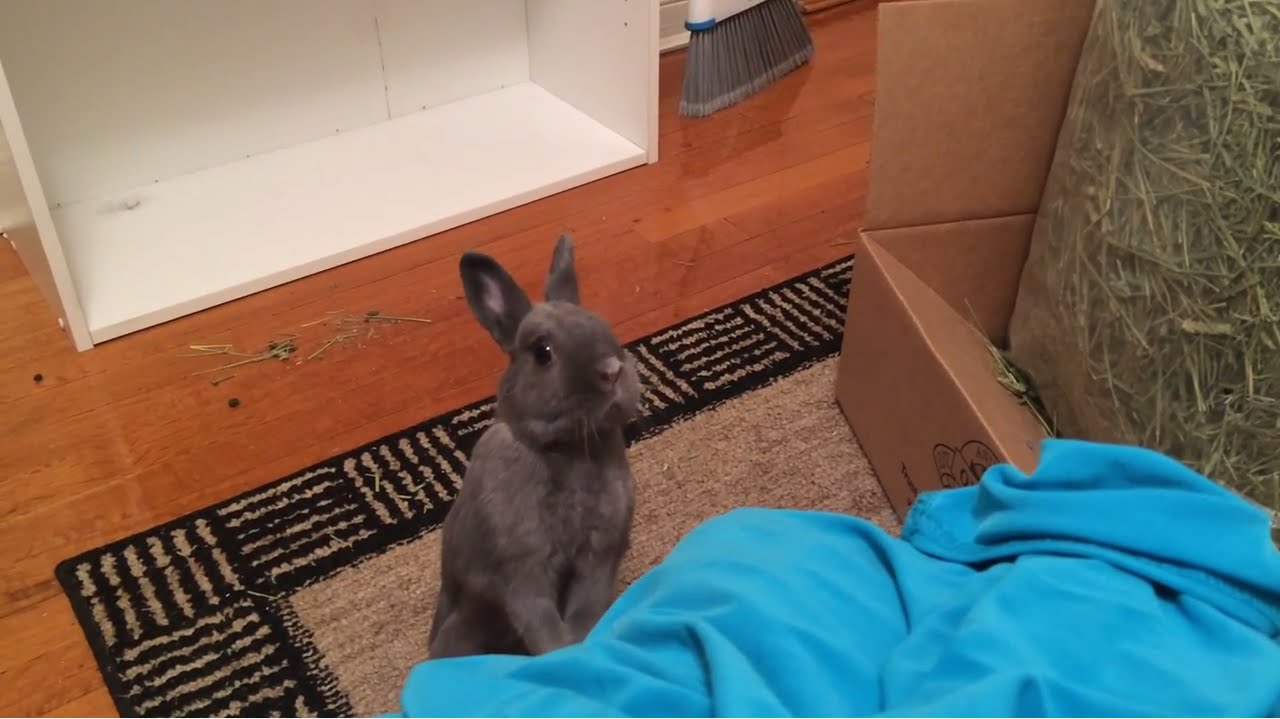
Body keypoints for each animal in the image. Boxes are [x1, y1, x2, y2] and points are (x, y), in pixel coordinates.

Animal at [426, 234, 642, 660]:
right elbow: (544, 627)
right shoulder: (524, 572)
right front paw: (560, 657)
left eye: (602, 324)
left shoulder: (597, 559)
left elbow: (585, 614)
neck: (567, 449)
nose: (611, 371)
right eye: (542, 352)